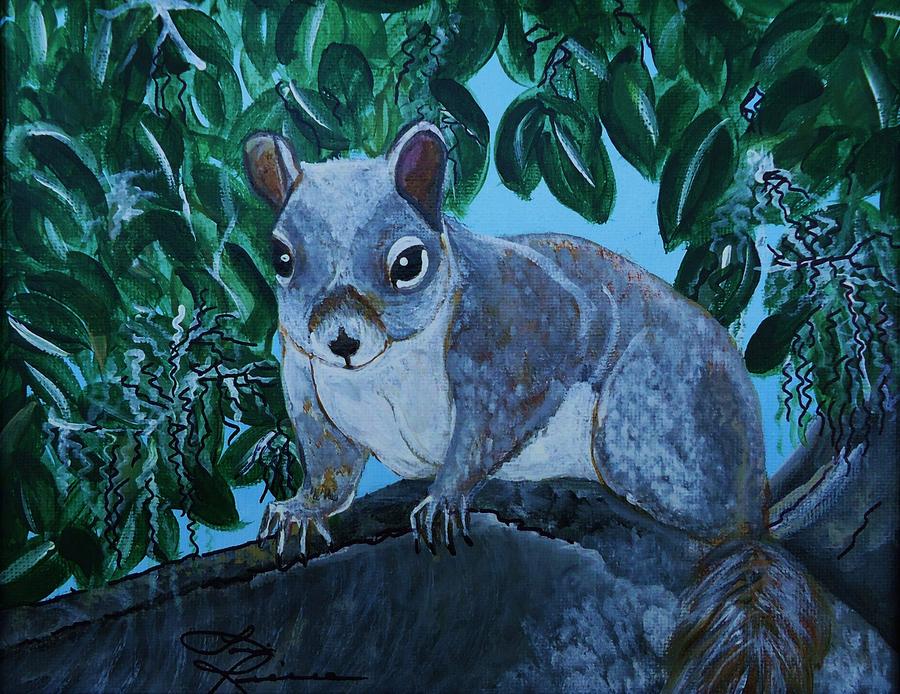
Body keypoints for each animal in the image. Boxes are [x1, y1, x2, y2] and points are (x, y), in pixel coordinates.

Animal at [243, 122, 831, 692]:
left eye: (408, 263)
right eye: (281, 259)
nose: (341, 341)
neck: (381, 366)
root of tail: (755, 509)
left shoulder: (520, 327)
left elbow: (487, 427)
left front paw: (445, 496)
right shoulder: (304, 378)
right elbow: (330, 464)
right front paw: (301, 510)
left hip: (649, 419)